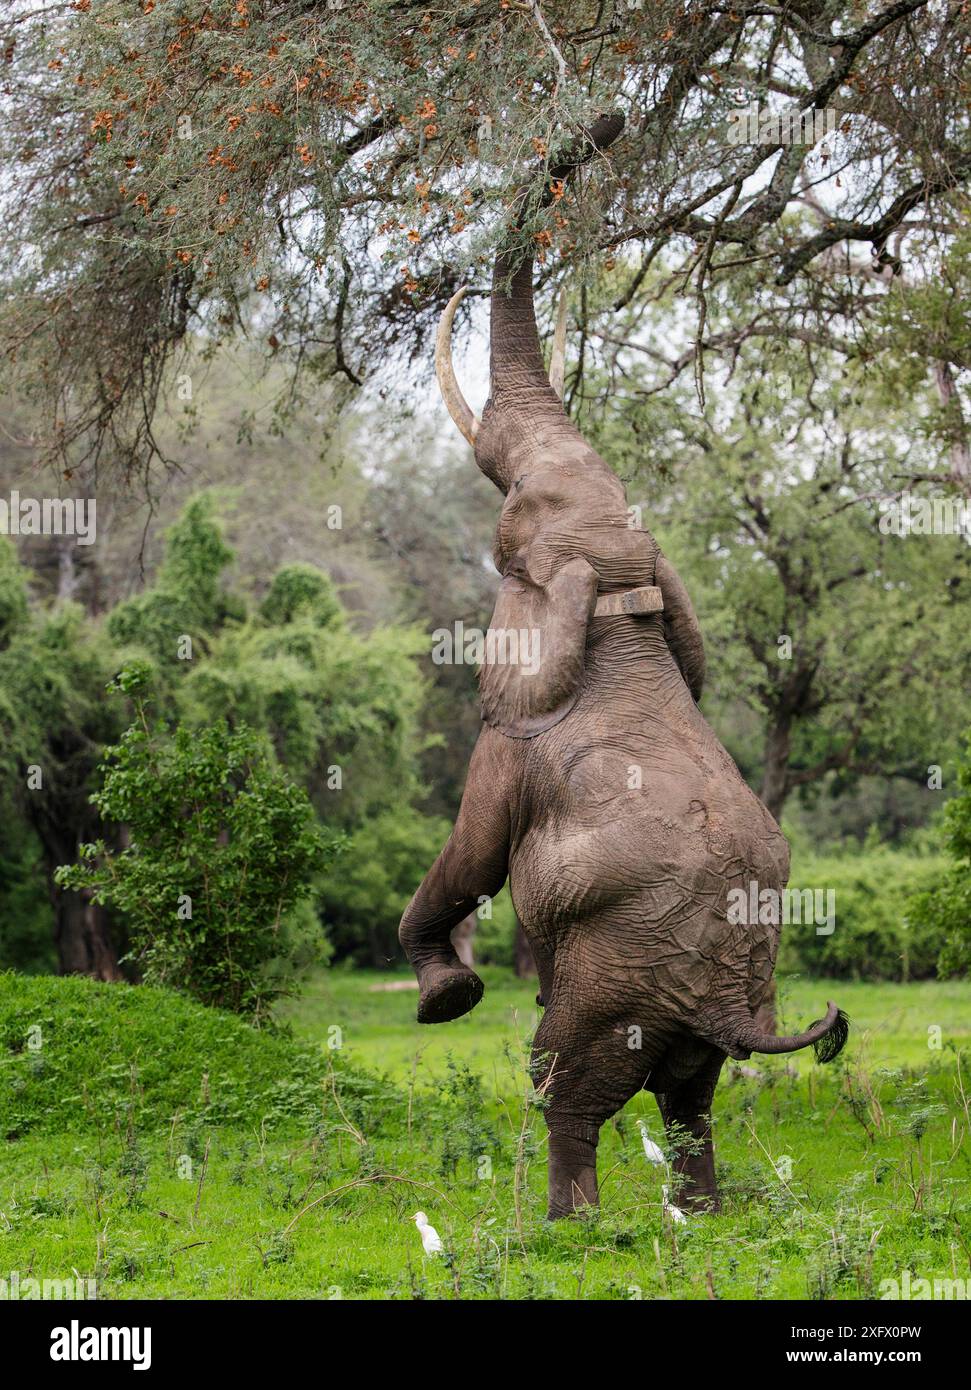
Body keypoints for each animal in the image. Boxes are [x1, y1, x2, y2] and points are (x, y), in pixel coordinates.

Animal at [399, 113, 847, 1219]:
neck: (615, 605)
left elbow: (471, 855)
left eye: (507, 539)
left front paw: (447, 998)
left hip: (615, 979)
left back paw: (564, 1224)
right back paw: (699, 1216)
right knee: (690, 1096)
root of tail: (731, 998)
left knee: (565, 1082)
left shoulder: (511, 743)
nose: (605, 122)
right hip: (686, 994)